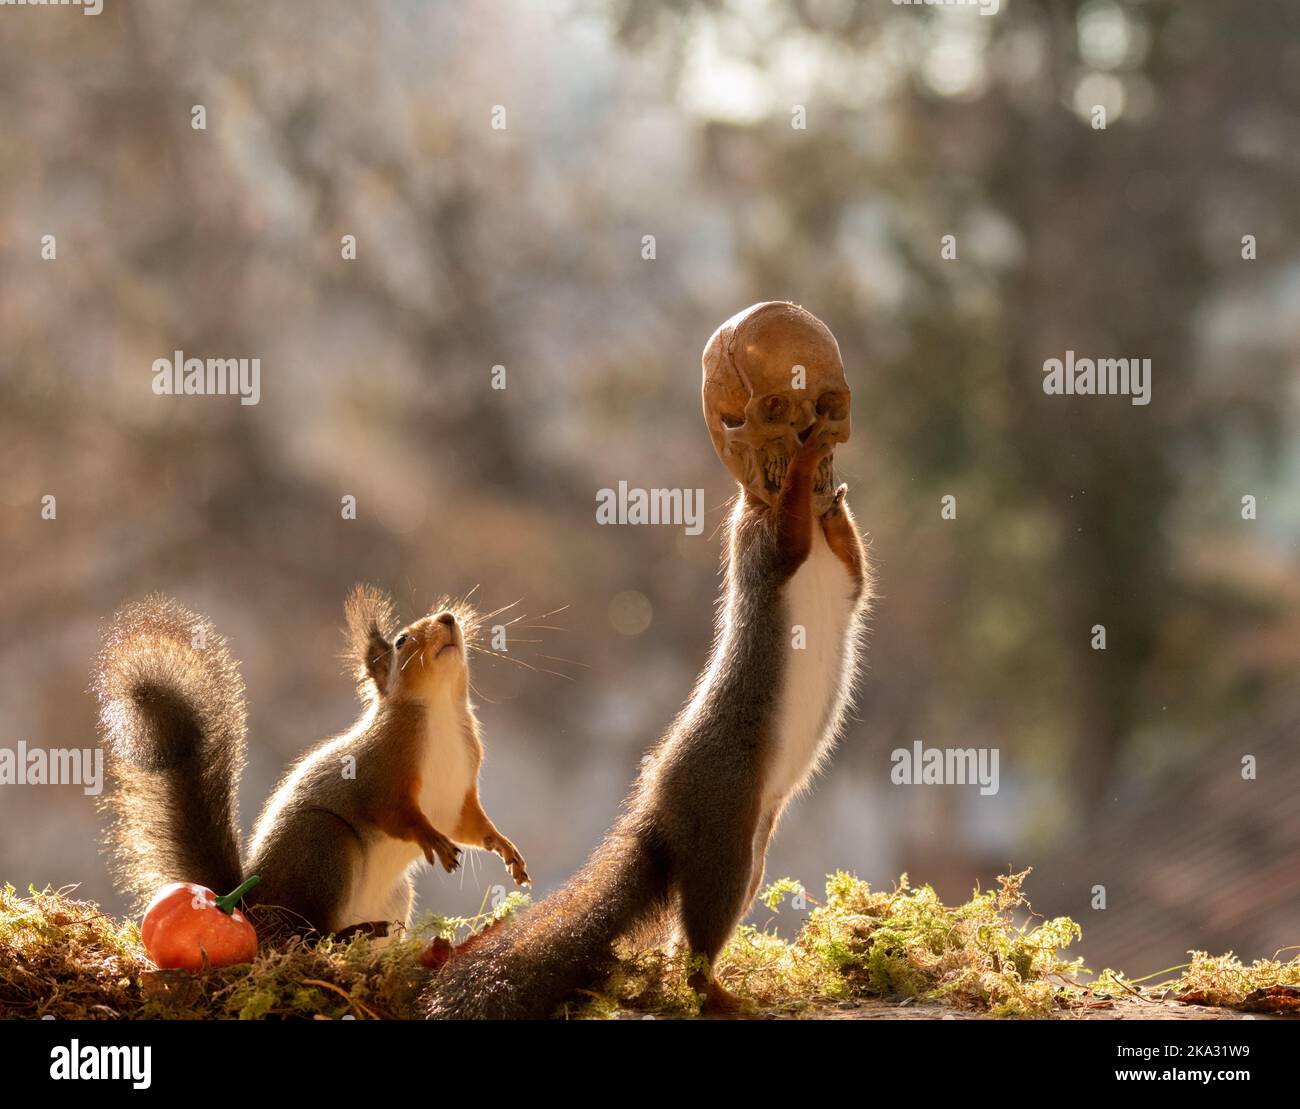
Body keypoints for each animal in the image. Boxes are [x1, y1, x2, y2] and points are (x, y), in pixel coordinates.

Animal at [95, 585, 529, 939]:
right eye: (402, 640)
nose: (448, 618)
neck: (439, 710)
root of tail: (252, 908)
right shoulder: (380, 771)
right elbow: (393, 813)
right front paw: (431, 839)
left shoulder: (458, 795)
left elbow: (471, 826)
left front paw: (506, 849)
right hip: (325, 846)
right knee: (308, 934)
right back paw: (347, 934)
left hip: (394, 894)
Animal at [425, 410, 871, 1016]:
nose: (832, 472)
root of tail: (656, 809)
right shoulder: (758, 548)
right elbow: (788, 532)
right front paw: (804, 467)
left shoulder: (846, 579)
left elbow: (856, 565)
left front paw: (839, 502)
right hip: (723, 835)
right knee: (699, 941)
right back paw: (723, 997)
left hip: (748, 853)